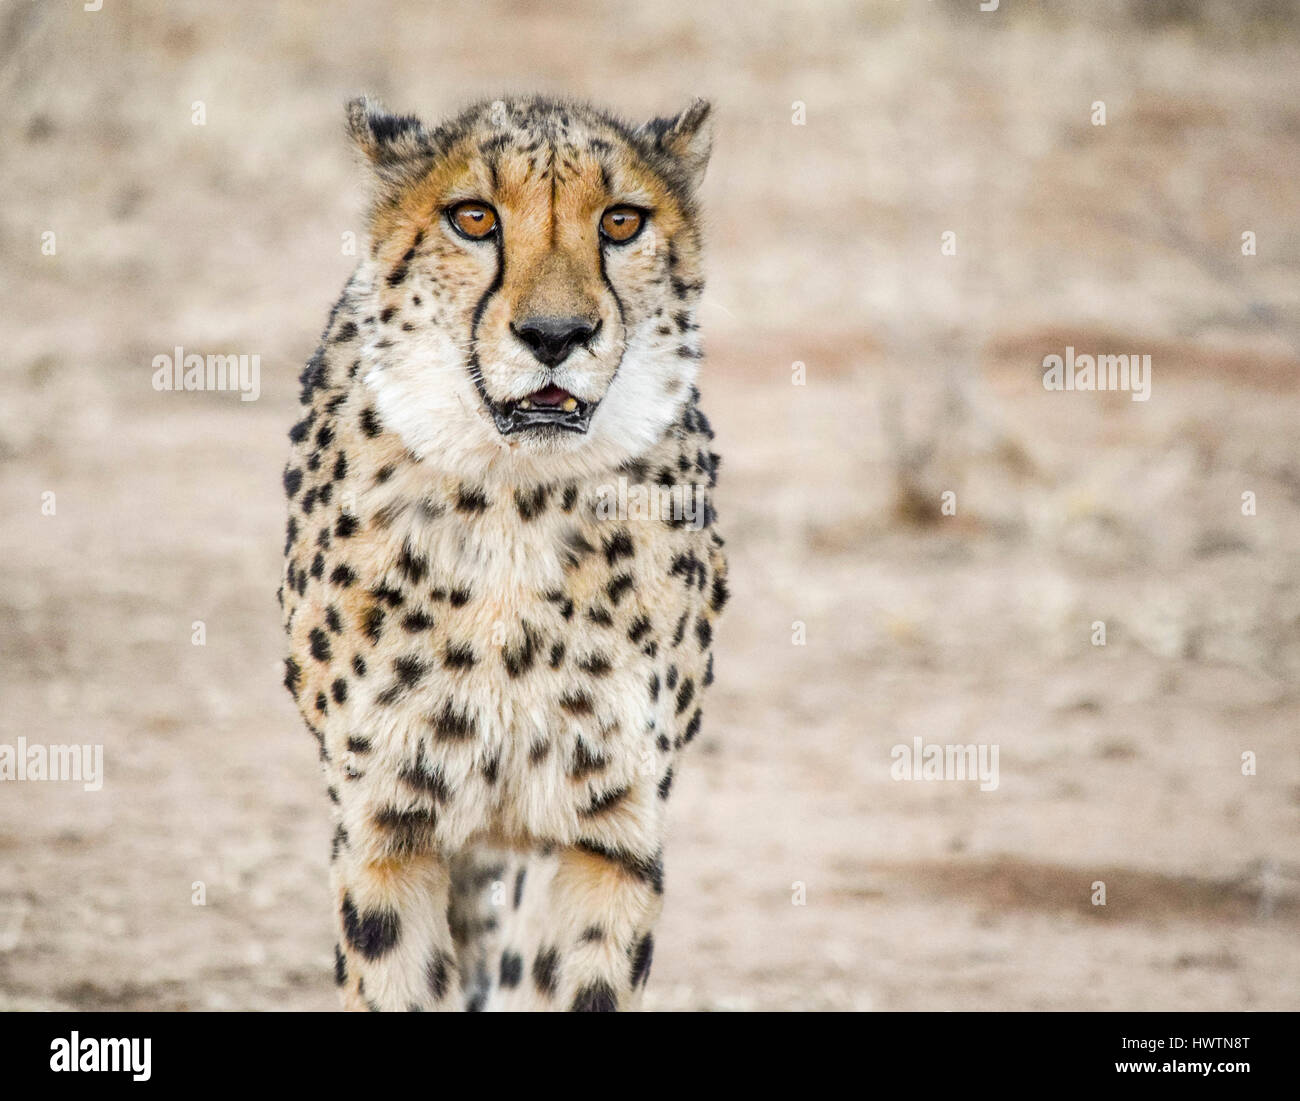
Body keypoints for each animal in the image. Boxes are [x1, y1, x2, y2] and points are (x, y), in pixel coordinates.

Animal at [279, 93, 728, 1011]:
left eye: (621, 221)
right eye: (474, 217)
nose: (556, 334)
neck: (518, 495)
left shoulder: (608, 831)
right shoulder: (388, 829)